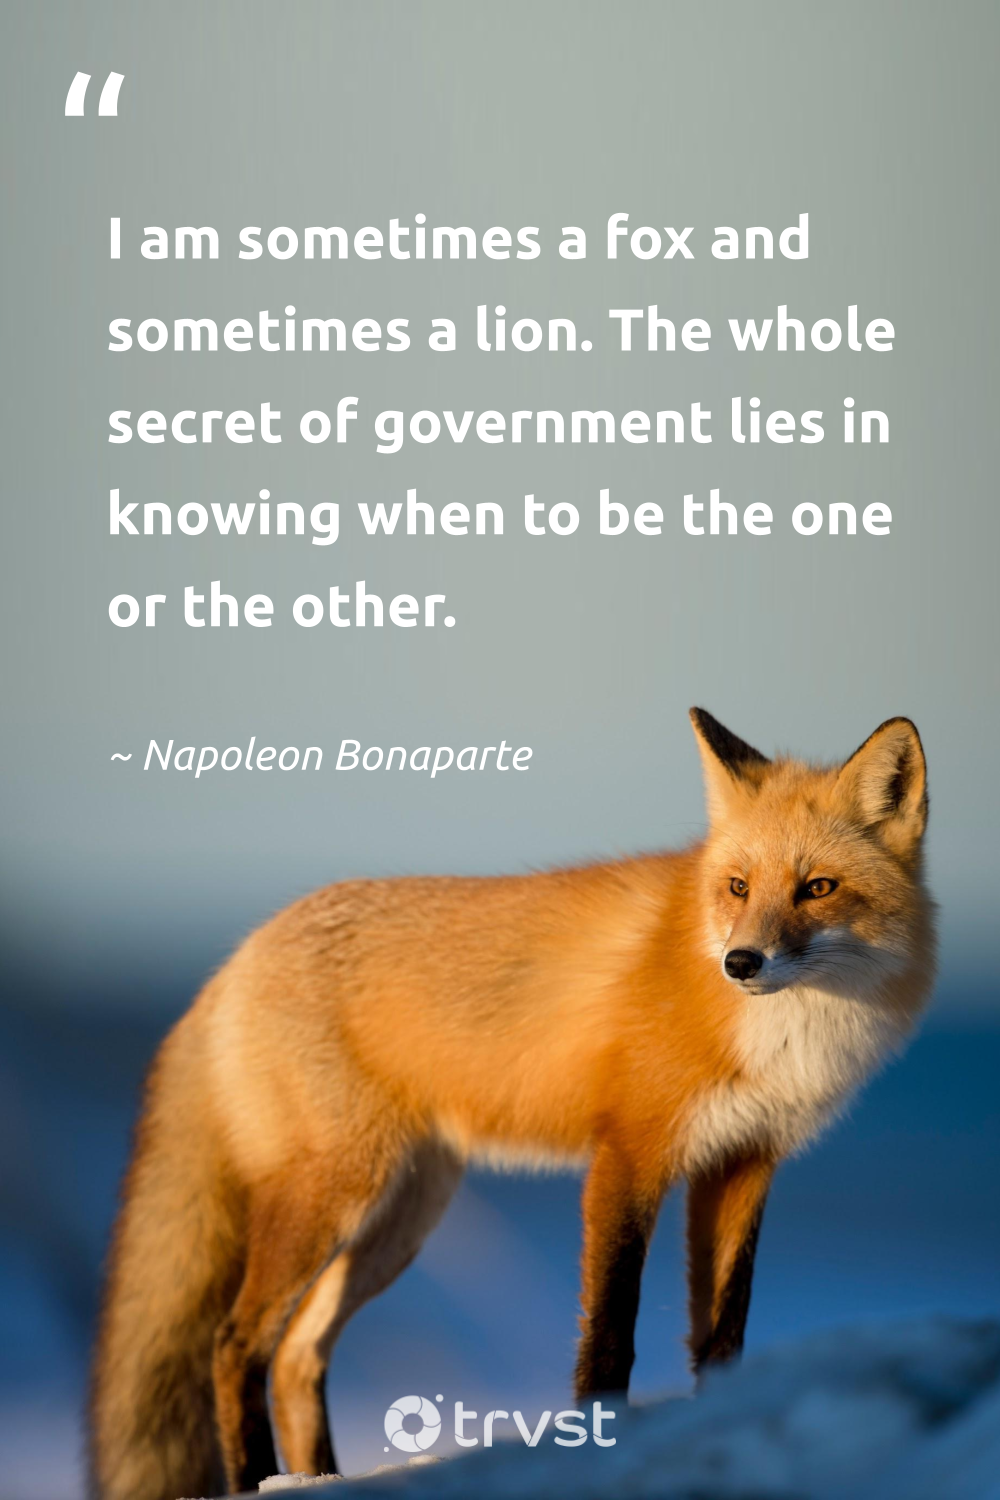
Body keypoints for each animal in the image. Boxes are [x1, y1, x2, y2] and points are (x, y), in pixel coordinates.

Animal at [89, 709, 935, 1500]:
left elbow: (723, 1333)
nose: (741, 962)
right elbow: (610, 1333)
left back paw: (318, 1478)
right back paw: (257, 1479)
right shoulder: (629, 1155)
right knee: (235, 1344)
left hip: (401, 1217)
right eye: (737, 887)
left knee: (298, 1353)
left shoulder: (744, 1163)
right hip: (334, 1196)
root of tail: (235, 959)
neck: (782, 1036)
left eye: (817, 888)